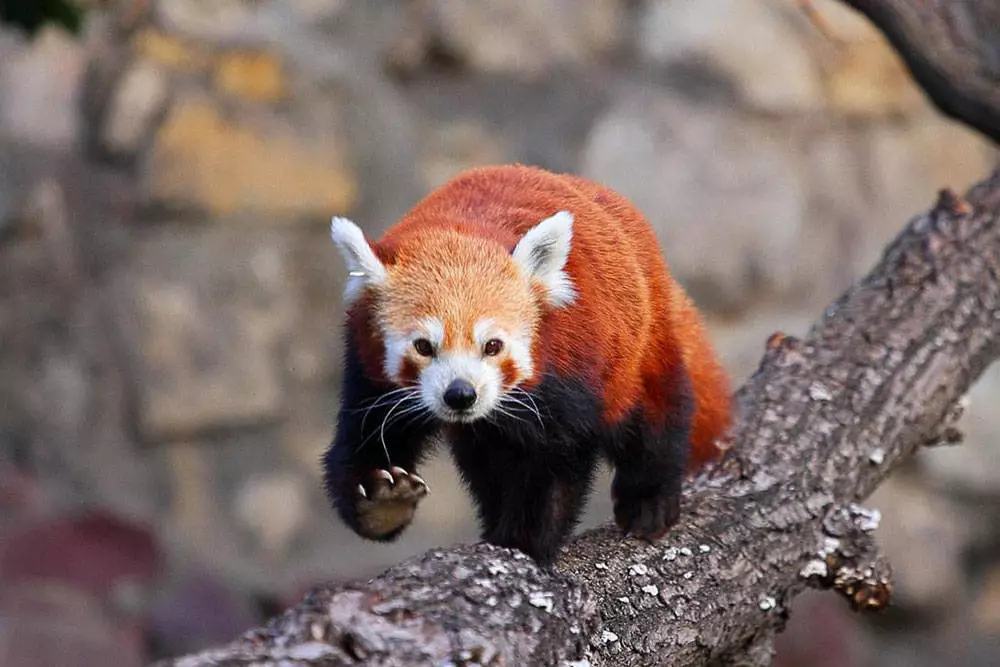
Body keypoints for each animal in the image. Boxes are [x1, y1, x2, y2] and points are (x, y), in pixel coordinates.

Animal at [324, 166, 732, 564]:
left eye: (492, 346)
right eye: (424, 346)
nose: (461, 394)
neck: (459, 229)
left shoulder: (566, 369)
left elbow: (554, 465)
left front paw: (521, 545)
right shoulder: (367, 366)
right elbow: (364, 435)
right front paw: (382, 502)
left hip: (638, 342)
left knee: (653, 412)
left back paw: (650, 502)